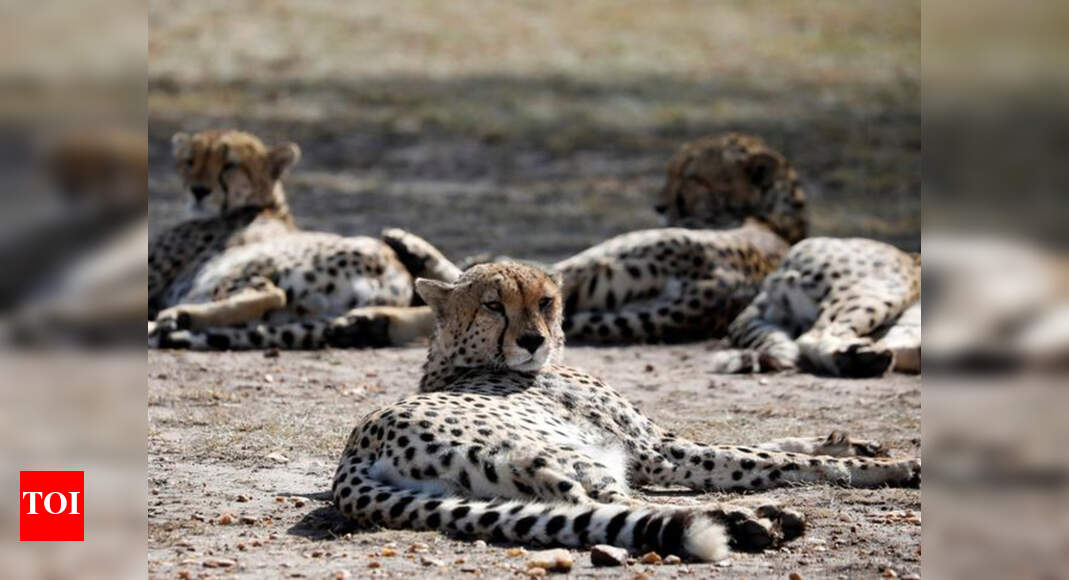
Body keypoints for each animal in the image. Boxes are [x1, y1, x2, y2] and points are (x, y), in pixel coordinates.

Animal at [330, 262, 920, 561]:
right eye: (493, 305)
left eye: (544, 302)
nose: (531, 341)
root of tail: (355, 451)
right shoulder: (658, 451)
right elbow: (774, 460)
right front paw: (893, 466)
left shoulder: (661, 441)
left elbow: (775, 445)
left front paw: (851, 441)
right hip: (563, 456)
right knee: (611, 507)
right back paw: (750, 520)